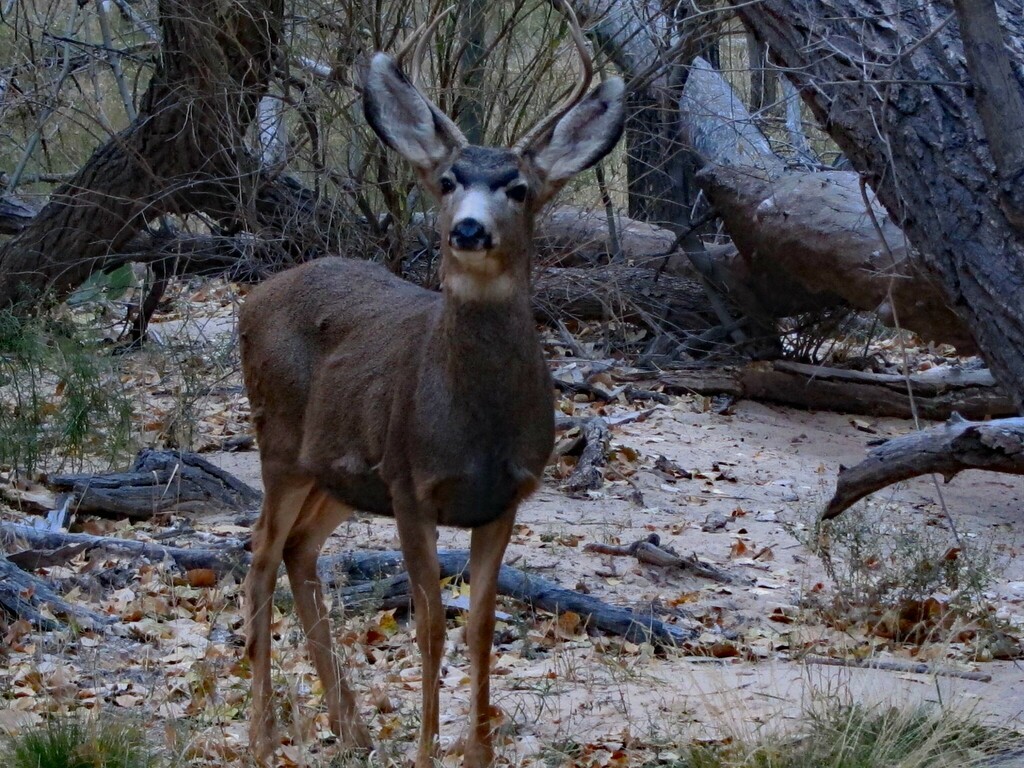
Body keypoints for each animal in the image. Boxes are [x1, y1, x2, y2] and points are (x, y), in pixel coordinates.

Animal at [239, 11, 624, 767]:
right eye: (448, 180)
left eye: (518, 188)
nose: (469, 229)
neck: (474, 429)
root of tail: (249, 301)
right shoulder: (412, 484)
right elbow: (429, 627)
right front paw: (425, 751)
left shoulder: (507, 495)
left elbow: (480, 626)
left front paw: (479, 753)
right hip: (282, 443)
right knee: (261, 555)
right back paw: (264, 735)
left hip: (340, 476)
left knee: (300, 551)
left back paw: (353, 729)